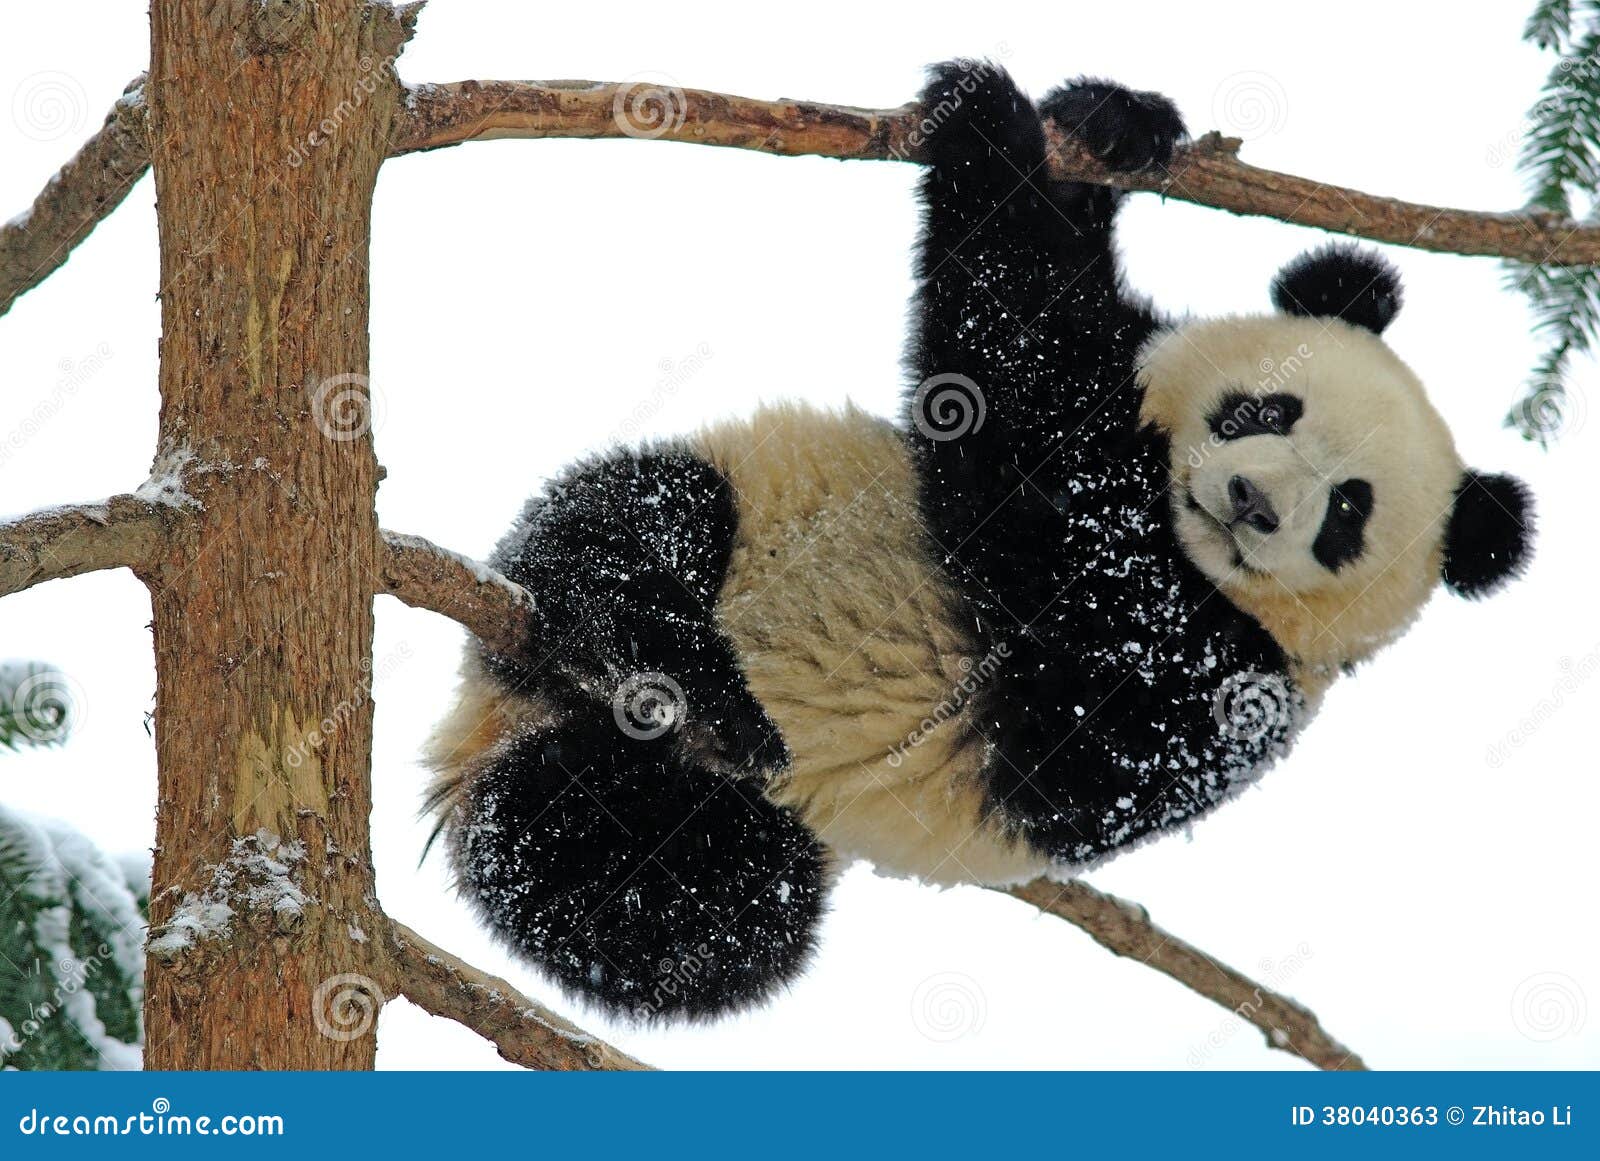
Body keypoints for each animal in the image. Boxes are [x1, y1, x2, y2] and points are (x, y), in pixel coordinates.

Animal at [423, 61, 1534, 1022]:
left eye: (1347, 511)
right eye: (1264, 409)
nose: (1253, 504)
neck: (1192, 549)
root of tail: (492, 730)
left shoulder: (1201, 681)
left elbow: (1025, 420)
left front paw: (990, 119)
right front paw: (1110, 123)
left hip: (716, 837)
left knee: (681, 905)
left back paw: (652, 719)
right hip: (730, 504)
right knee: (636, 522)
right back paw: (656, 650)